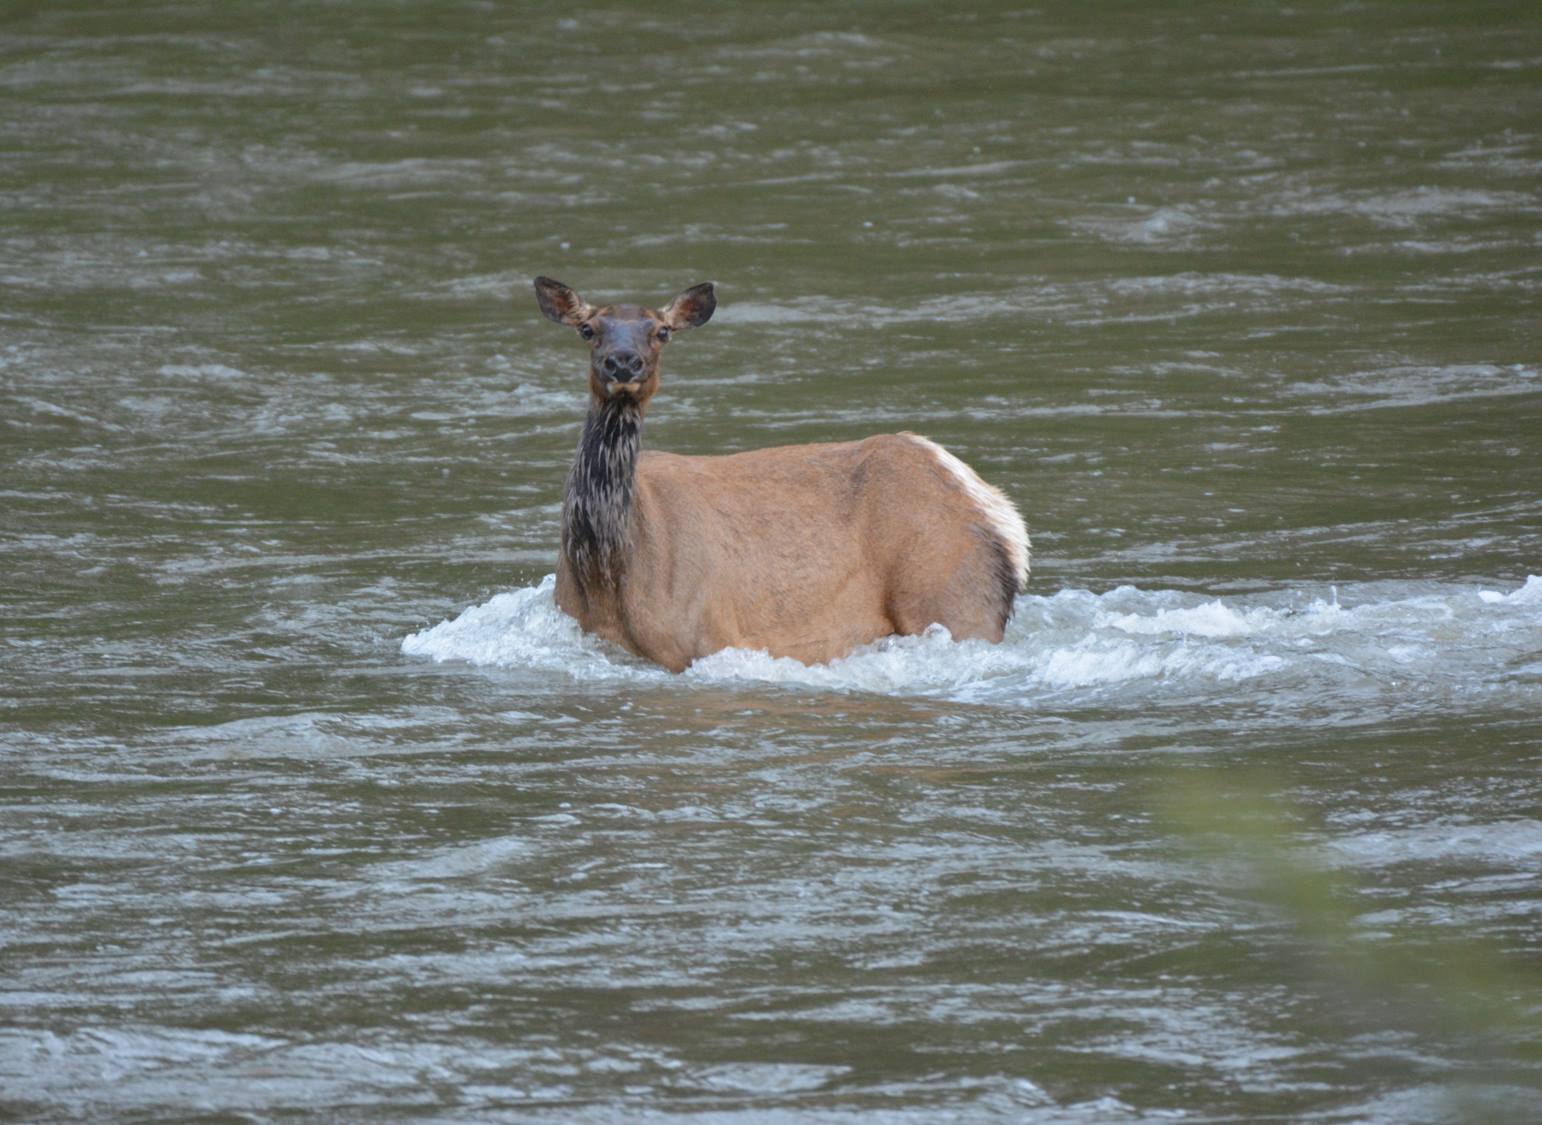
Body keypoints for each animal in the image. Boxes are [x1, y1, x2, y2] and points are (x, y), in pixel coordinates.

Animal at [533, 277, 1029, 673]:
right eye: (588, 329)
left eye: (662, 331)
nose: (623, 362)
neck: (609, 572)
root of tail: (1001, 516)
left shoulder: (708, 637)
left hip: (954, 597)